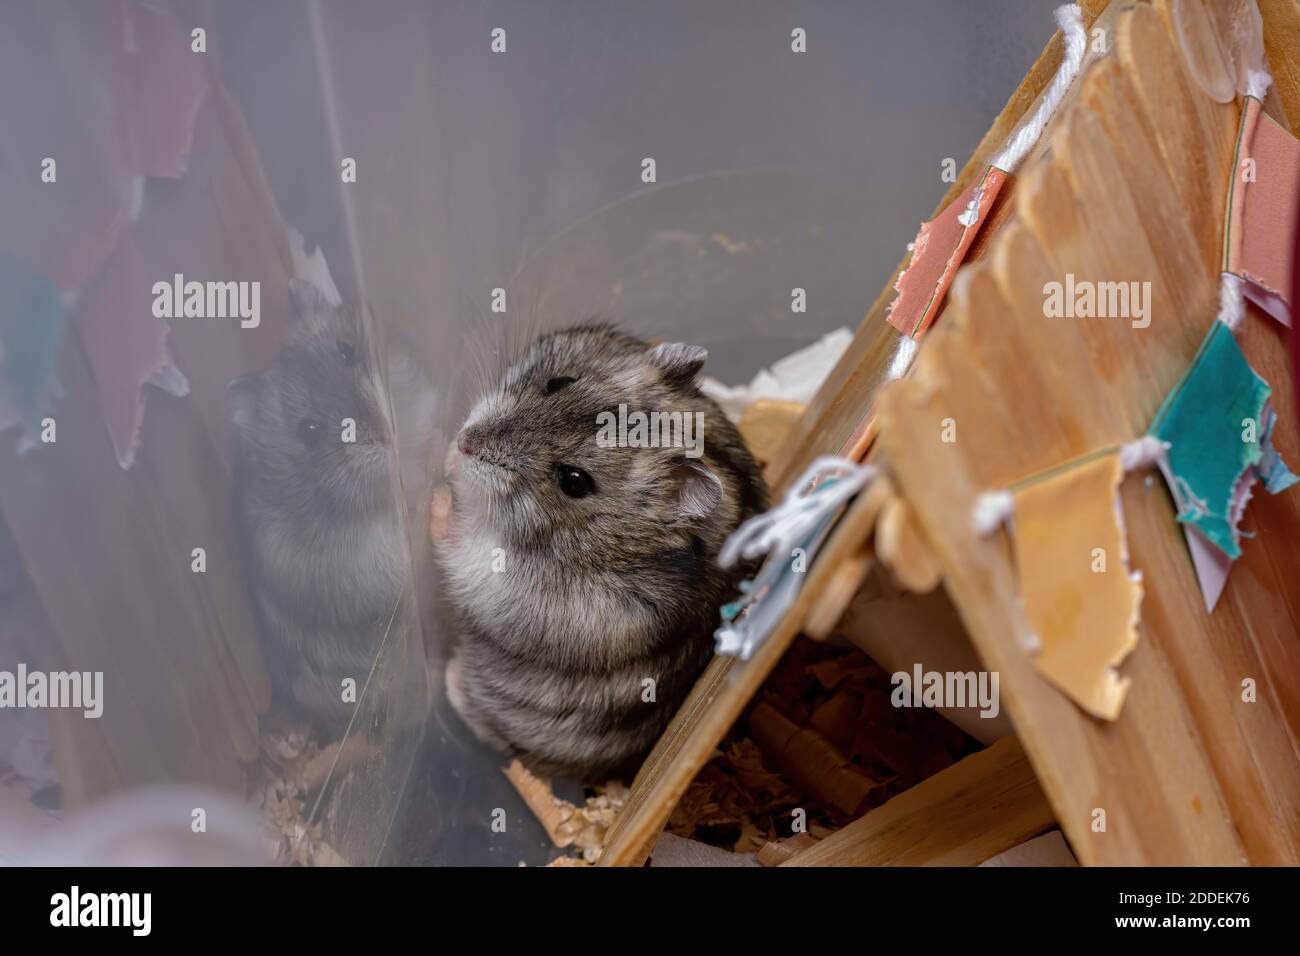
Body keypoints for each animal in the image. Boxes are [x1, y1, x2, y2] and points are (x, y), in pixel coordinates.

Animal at [437, 324, 767, 780]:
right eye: (559, 381)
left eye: (574, 481)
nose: (466, 442)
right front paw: (447, 458)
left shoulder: (521, 590)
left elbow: (464, 550)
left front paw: (437, 500)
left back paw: (452, 676)